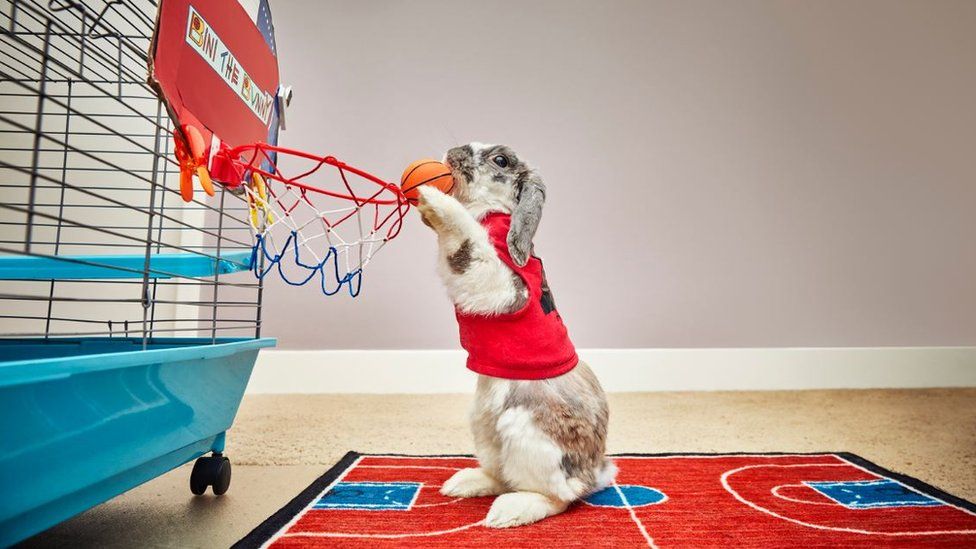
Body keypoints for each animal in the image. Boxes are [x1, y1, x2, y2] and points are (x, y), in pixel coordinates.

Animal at [414, 142, 616, 528]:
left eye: (501, 161)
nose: (452, 153)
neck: (492, 212)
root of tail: (594, 471)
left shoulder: (506, 285)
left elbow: (467, 243)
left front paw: (434, 199)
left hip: (529, 434)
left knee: (558, 497)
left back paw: (508, 512)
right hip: (484, 425)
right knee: (501, 474)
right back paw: (465, 483)